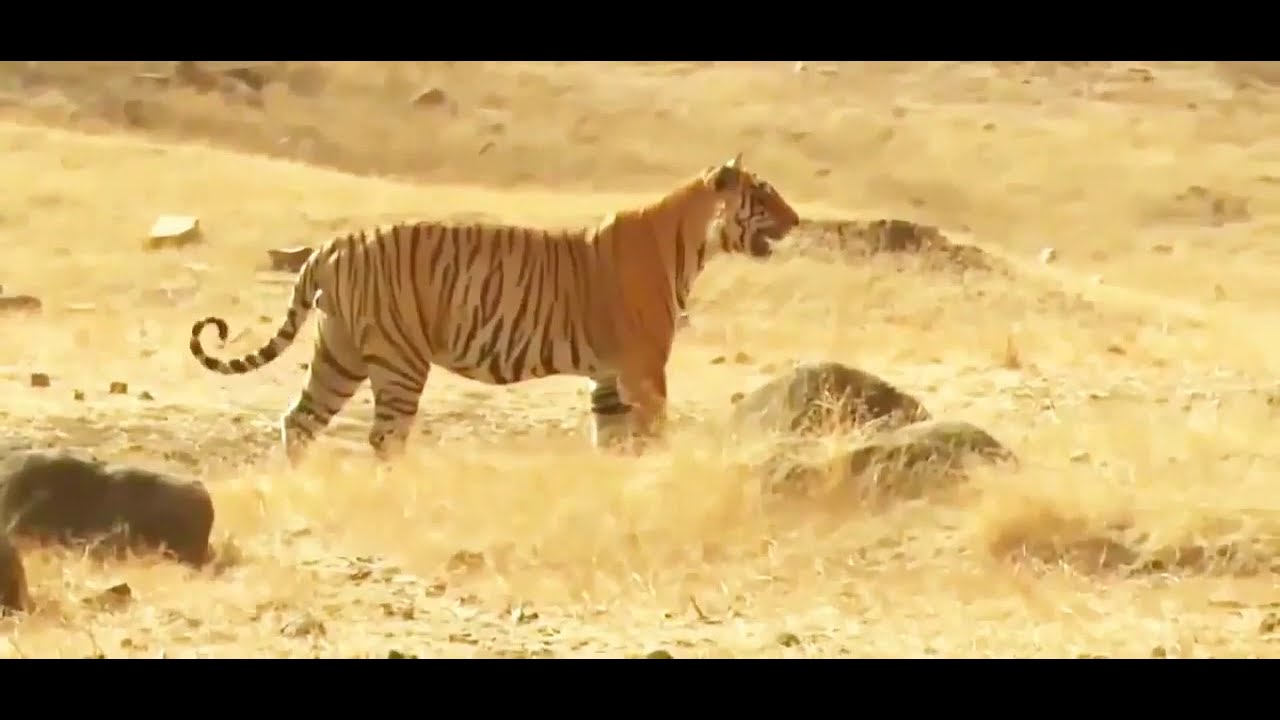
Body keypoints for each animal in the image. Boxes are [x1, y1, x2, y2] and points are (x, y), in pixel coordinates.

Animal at [188, 153, 801, 464]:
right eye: (764, 194)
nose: (796, 220)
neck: (694, 241)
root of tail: (330, 246)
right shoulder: (645, 370)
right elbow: (652, 436)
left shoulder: (608, 377)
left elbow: (612, 442)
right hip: (399, 359)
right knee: (383, 437)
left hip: (339, 352)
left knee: (300, 419)